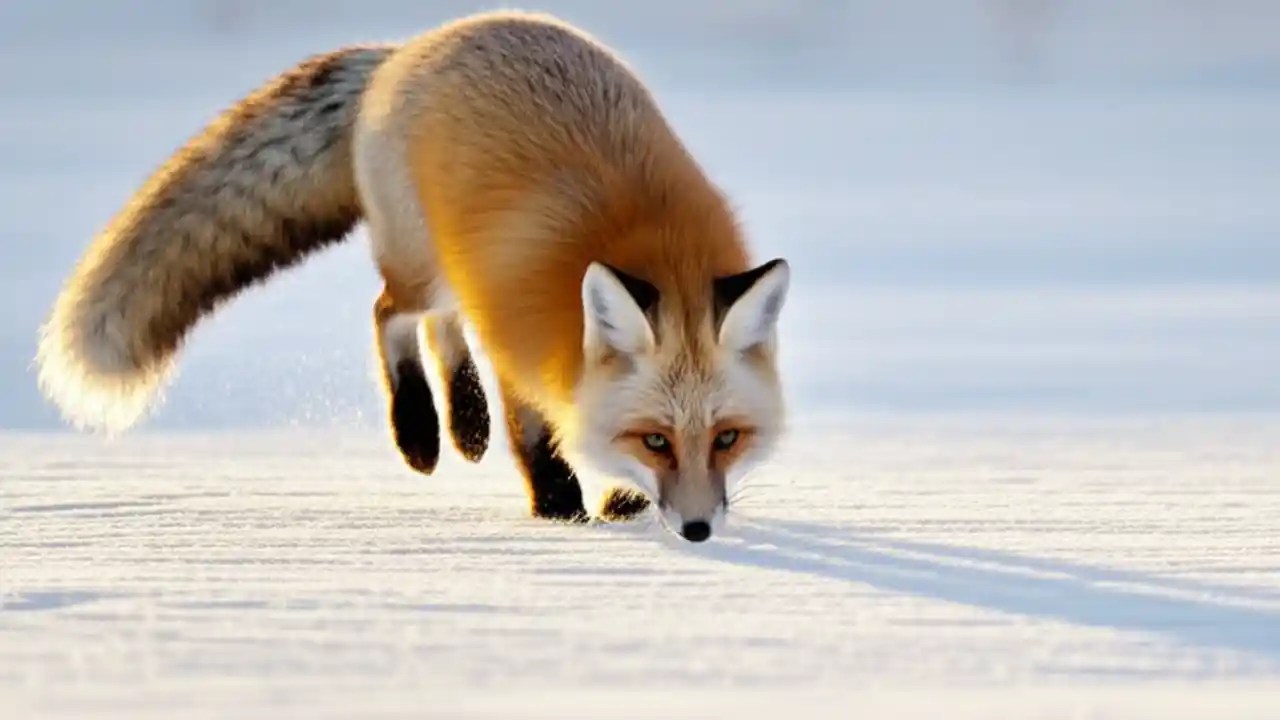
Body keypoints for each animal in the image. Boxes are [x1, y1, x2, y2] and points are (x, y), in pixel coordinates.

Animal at [35, 10, 790, 543]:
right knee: (390, 313)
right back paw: (422, 430)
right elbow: (535, 435)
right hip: (424, 264)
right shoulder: (519, 337)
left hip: (457, 266)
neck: (666, 255)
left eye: (727, 438)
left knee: (441, 325)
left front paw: (618, 499)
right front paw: (559, 510)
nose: (698, 531)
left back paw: (465, 420)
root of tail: (407, 47)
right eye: (655, 439)